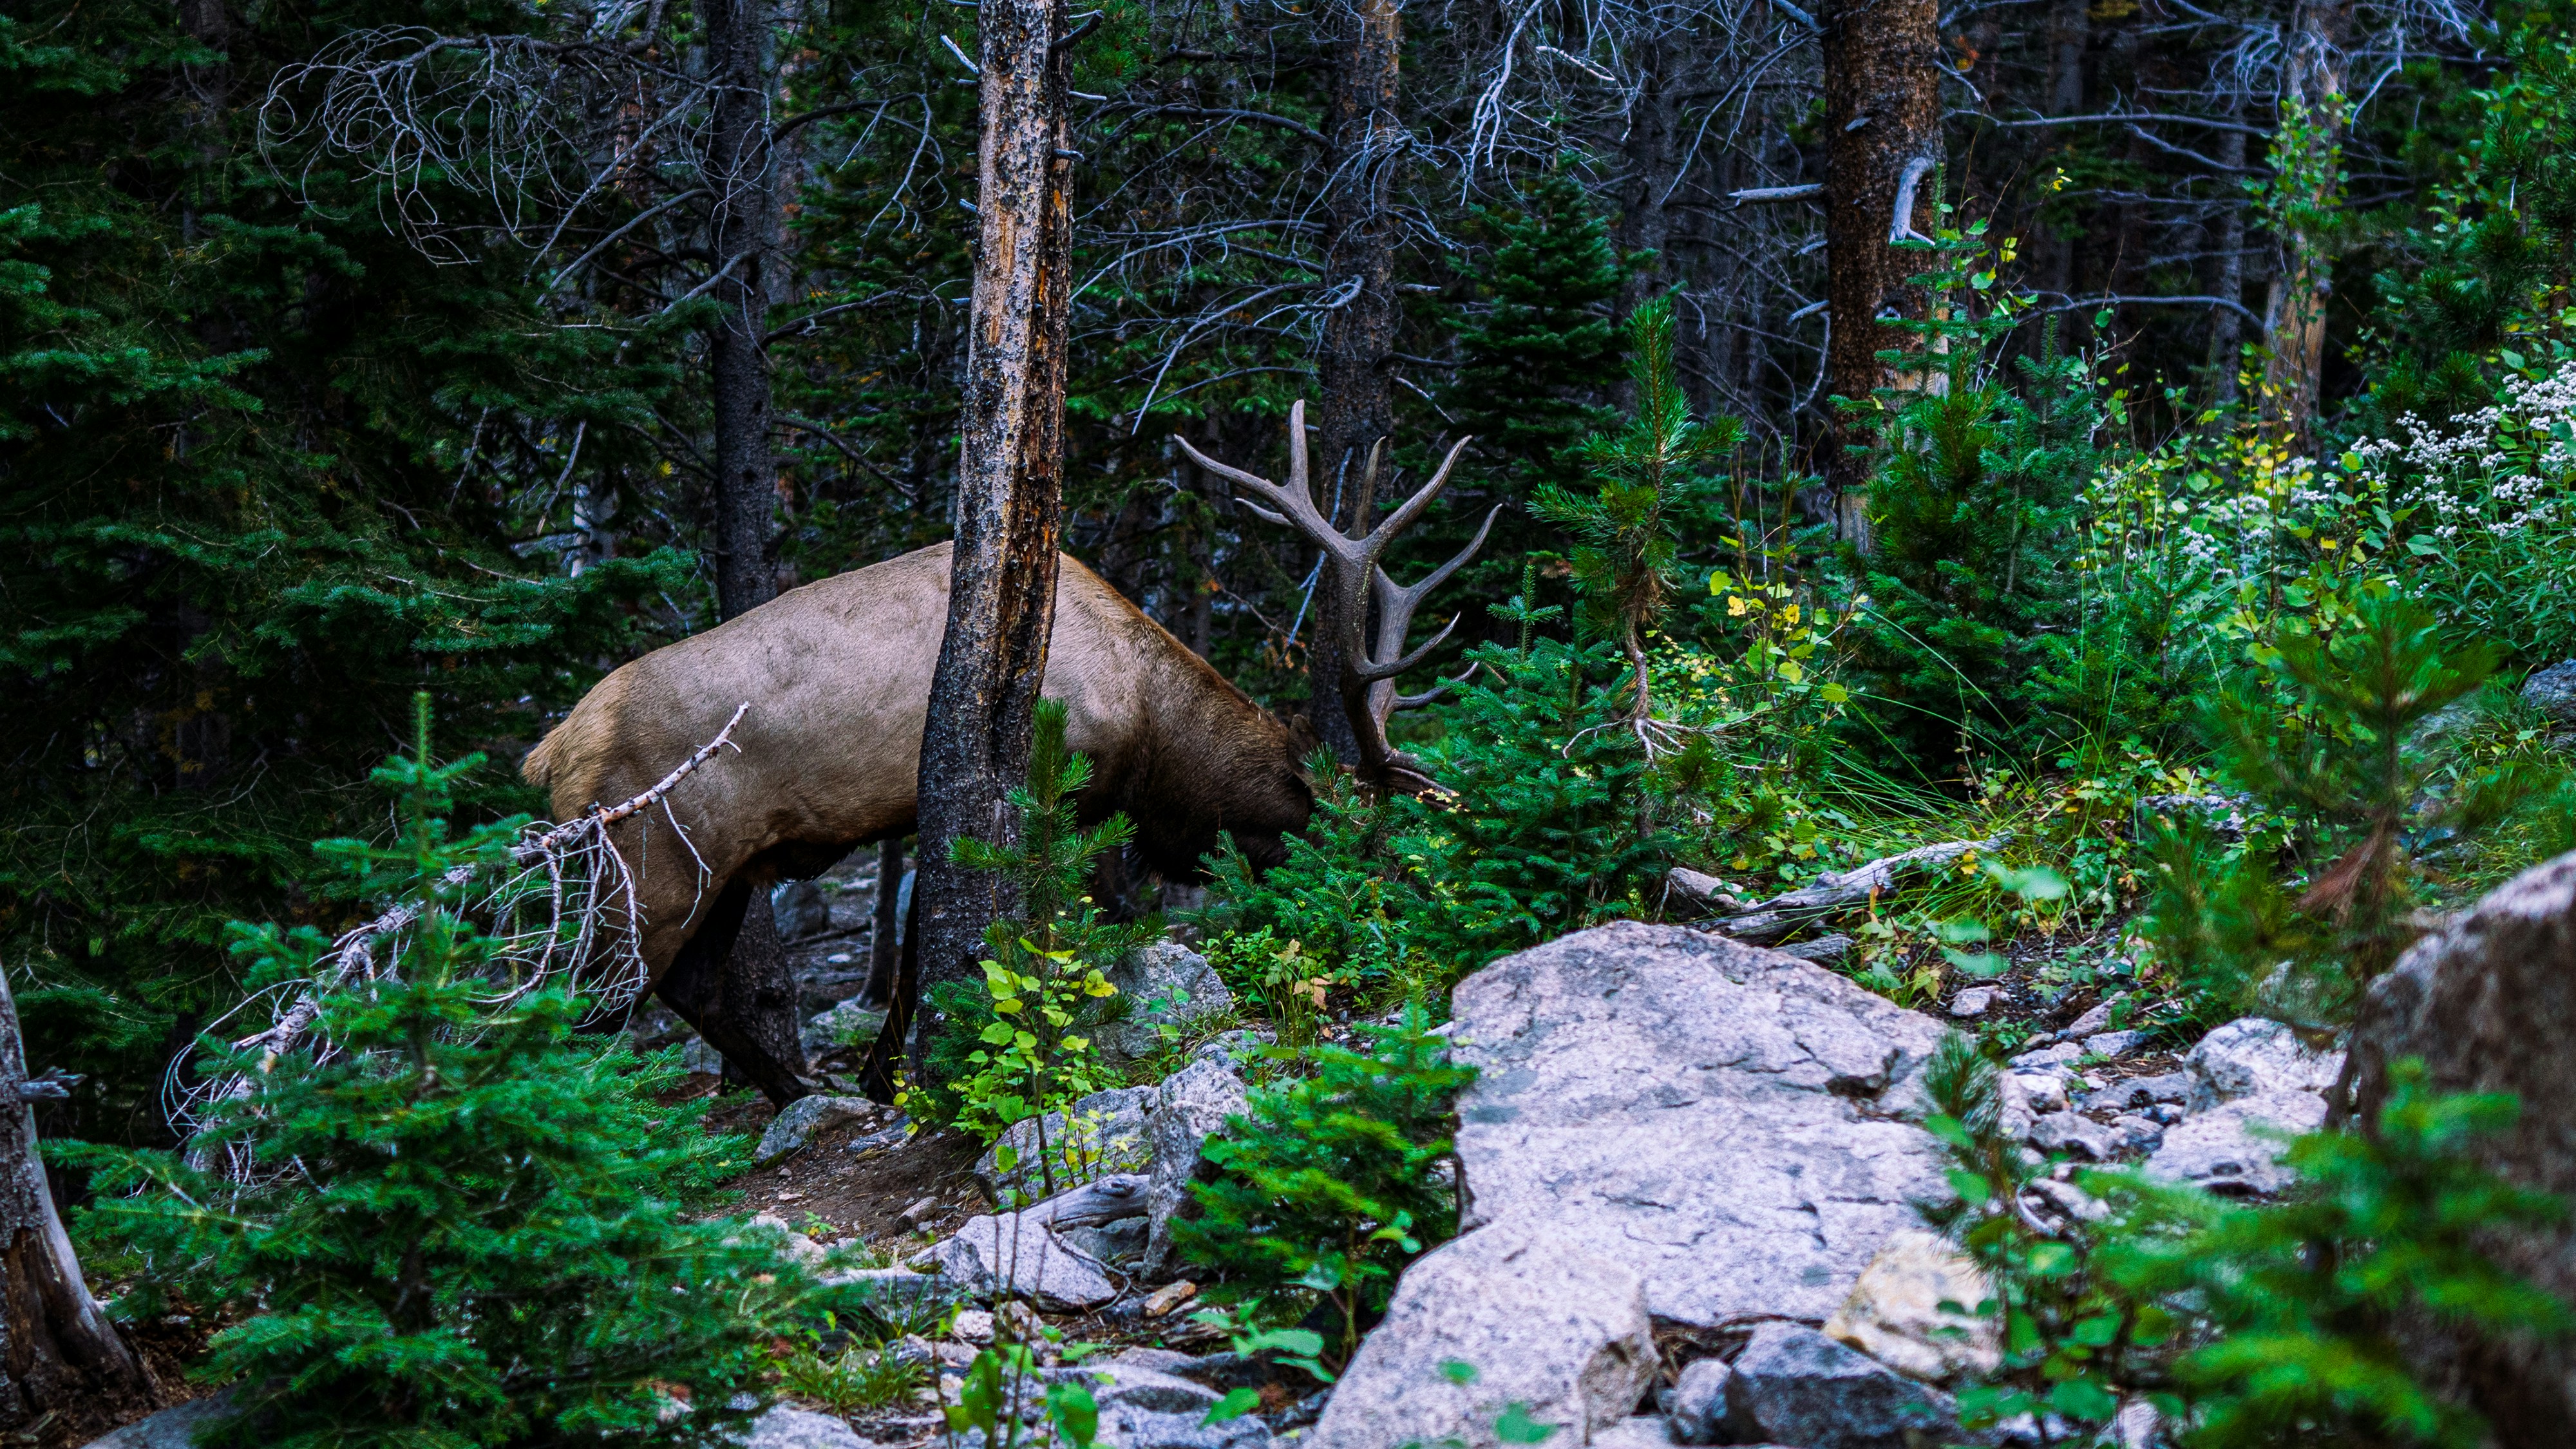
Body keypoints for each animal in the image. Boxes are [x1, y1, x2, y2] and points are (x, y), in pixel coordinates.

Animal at [521, 402, 1490, 1105]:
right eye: (1356, 840)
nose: (1392, 925)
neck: (1152, 725)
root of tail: (551, 753)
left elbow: (930, 949)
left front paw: (886, 1079)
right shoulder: (1057, 795)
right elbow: (1078, 923)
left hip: (719, 873)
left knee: (692, 990)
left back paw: (799, 1091)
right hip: (647, 870)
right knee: (583, 1006)